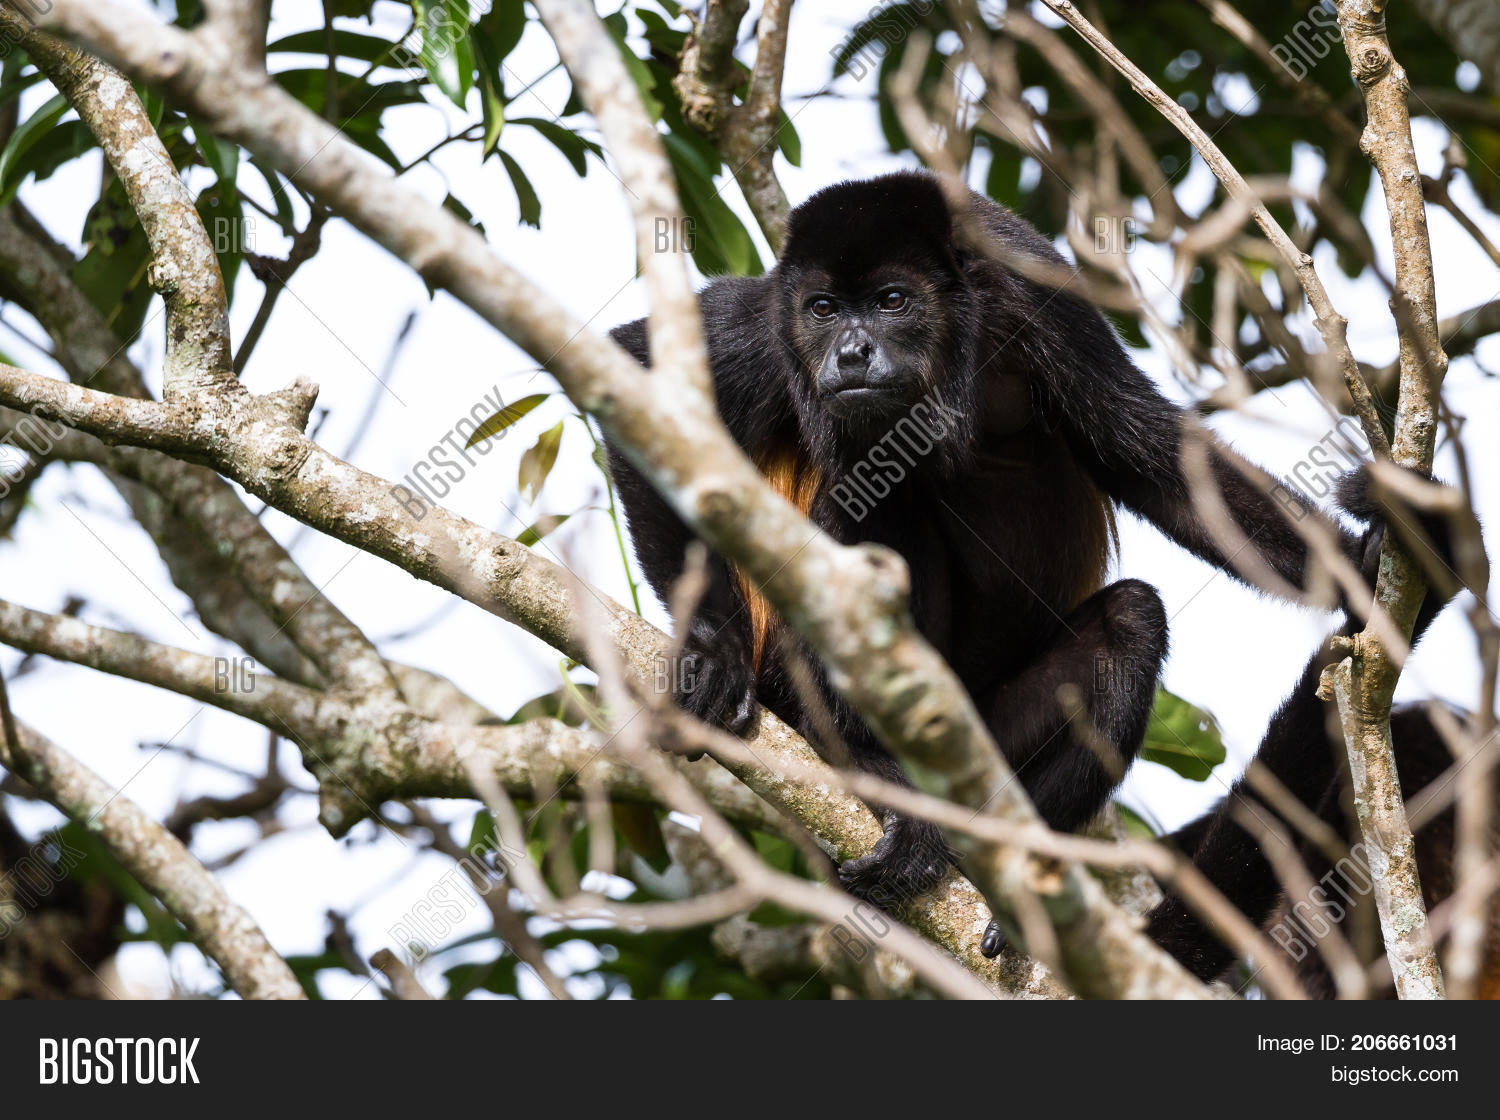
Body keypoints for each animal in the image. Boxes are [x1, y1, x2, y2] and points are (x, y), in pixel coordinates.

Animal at [605, 170, 1360, 907]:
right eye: (822, 309)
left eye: (892, 301)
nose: (851, 353)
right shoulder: (769, 326)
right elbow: (636, 372)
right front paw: (715, 650)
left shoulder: (1038, 295)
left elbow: (1152, 458)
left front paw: (1368, 565)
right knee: (877, 485)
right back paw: (874, 768)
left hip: (992, 737)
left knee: (1133, 618)